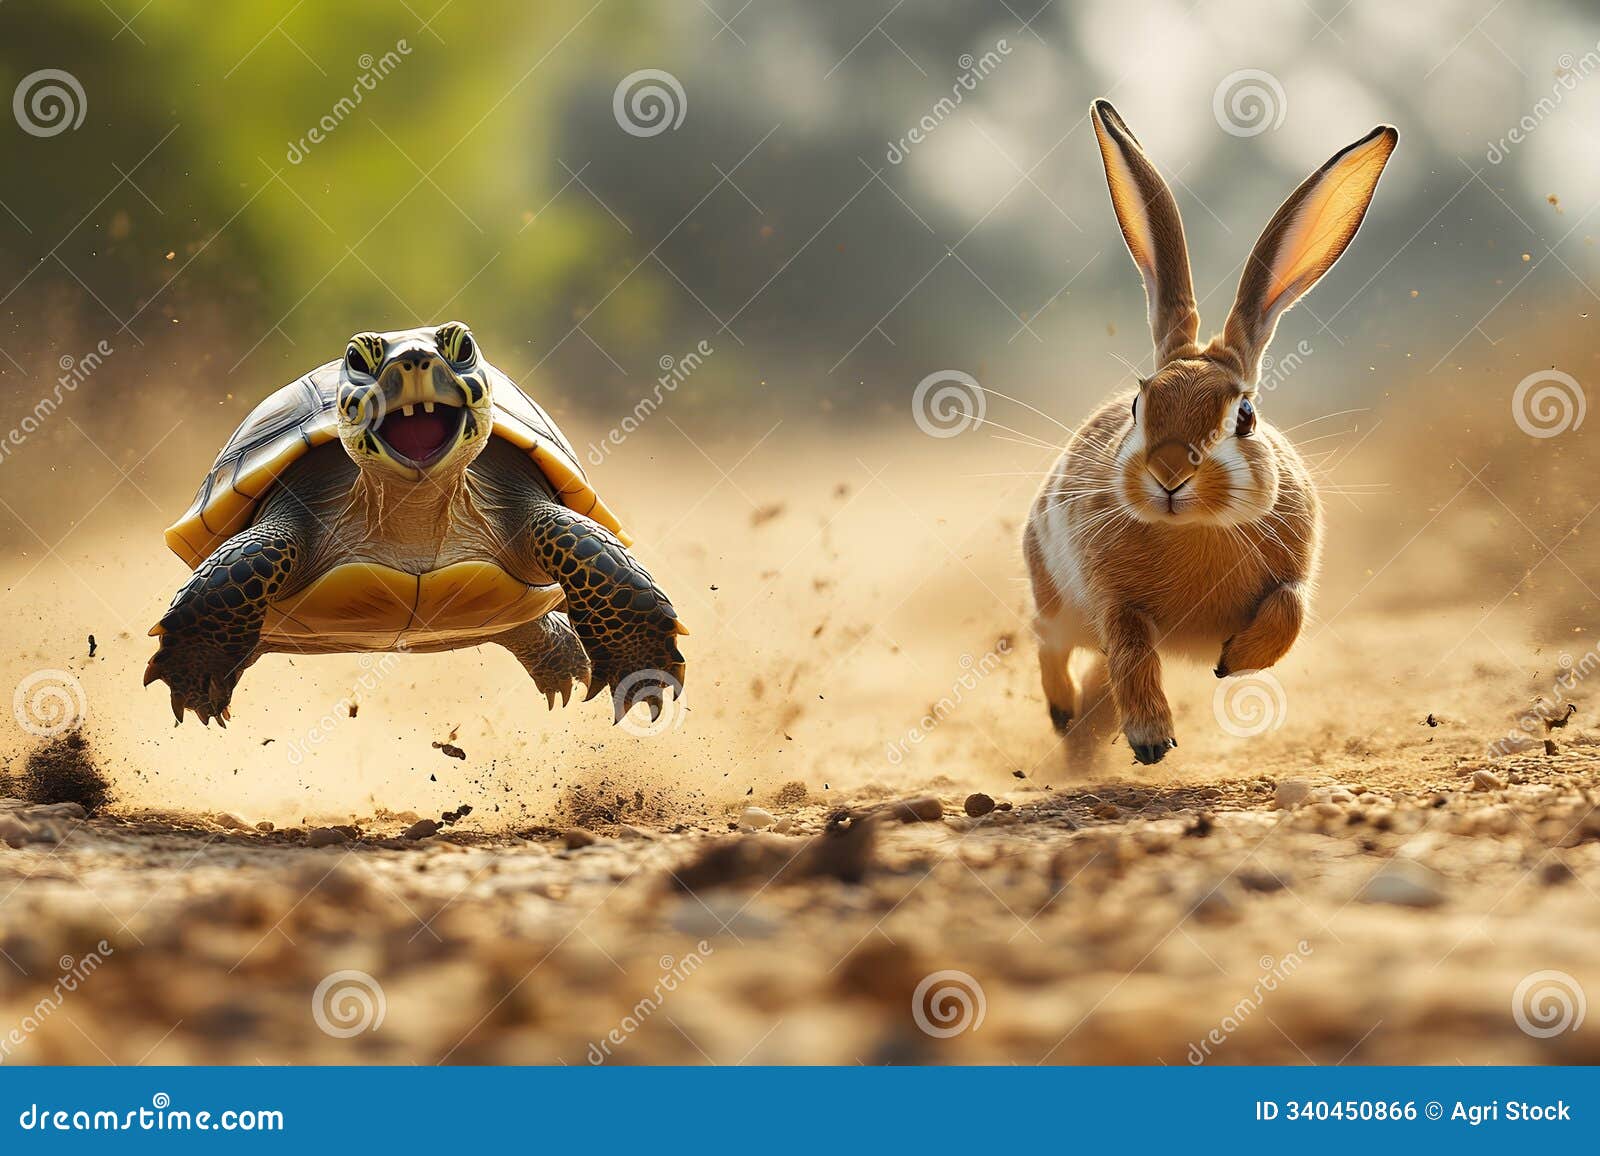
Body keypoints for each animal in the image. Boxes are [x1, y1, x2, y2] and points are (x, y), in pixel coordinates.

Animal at [1023, 99, 1397, 764]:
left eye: (1245, 415)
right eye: (1140, 404)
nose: (1170, 474)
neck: (1194, 531)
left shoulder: (1291, 576)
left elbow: (1288, 610)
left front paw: (1232, 662)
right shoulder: (1116, 602)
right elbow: (1131, 652)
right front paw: (1151, 740)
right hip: (1050, 586)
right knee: (1053, 645)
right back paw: (1067, 718)